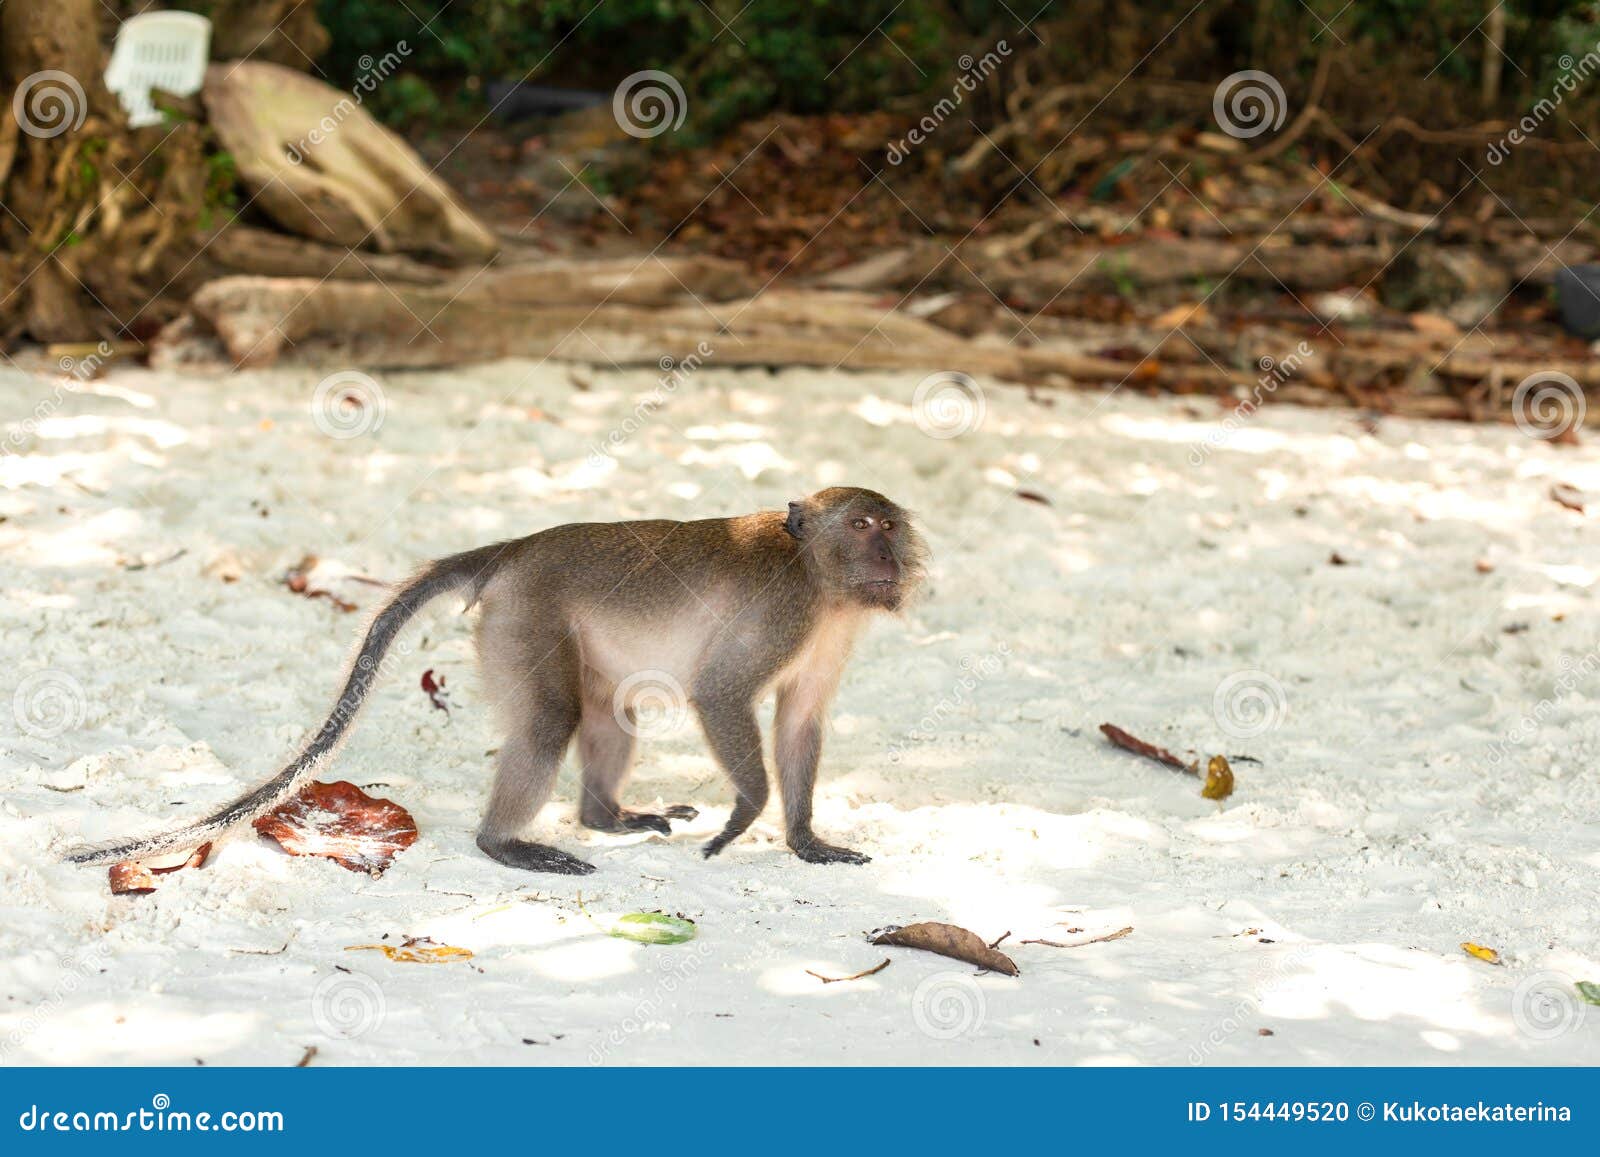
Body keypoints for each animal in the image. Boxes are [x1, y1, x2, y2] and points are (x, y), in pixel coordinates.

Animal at [65, 487, 927, 876]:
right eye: (860, 525)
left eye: (889, 525)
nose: (888, 556)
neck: (820, 577)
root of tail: (517, 549)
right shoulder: (787, 610)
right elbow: (720, 693)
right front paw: (745, 816)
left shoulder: (830, 629)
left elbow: (799, 724)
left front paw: (806, 838)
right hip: (524, 618)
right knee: (551, 721)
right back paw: (504, 842)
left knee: (606, 710)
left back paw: (604, 815)